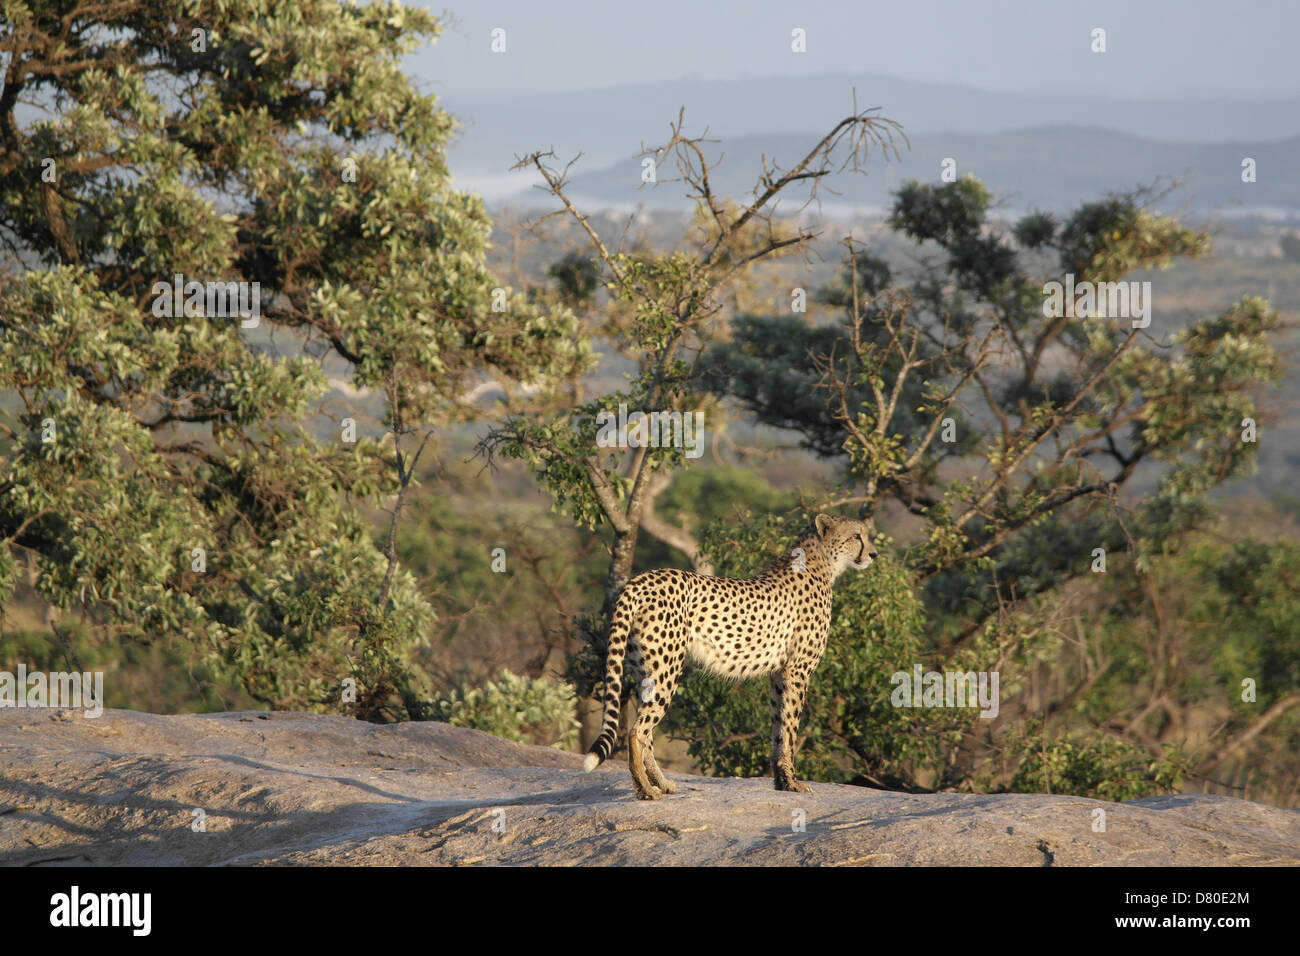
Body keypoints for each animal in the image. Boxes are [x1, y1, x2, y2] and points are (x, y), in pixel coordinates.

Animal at [582, 513, 878, 799]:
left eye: (867, 535)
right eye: (856, 536)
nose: (874, 554)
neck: (821, 561)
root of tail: (639, 579)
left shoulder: (778, 674)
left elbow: (777, 728)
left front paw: (782, 782)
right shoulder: (797, 670)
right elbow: (790, 729)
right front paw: (793, 782)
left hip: (644, 670)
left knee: (647, 733)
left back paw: (662, 784)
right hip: (666, 671)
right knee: (637, 732)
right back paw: (645, 790)